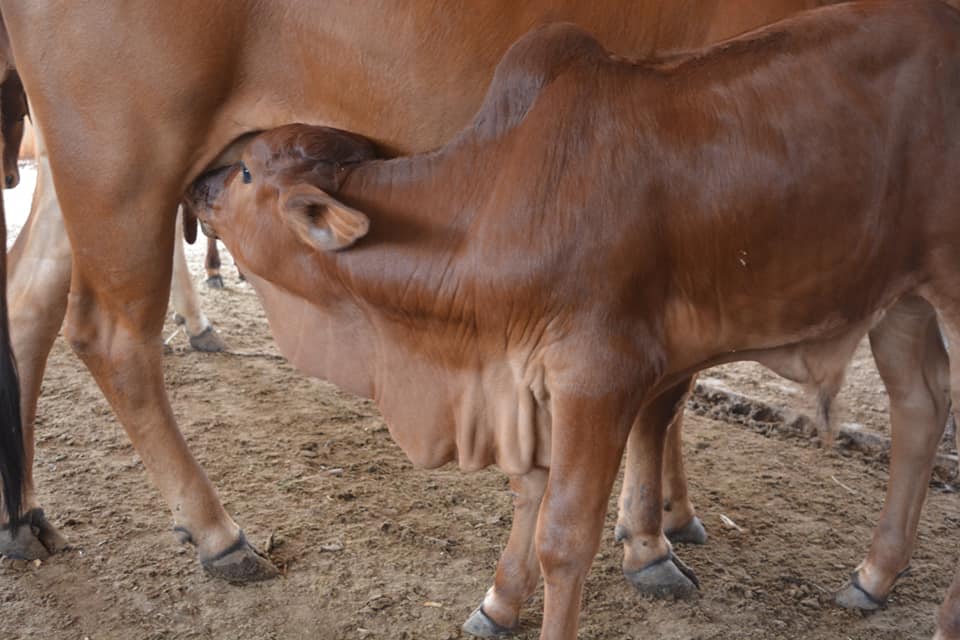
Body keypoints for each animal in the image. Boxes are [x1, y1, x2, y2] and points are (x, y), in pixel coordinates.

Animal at [0, 0, 947, 627]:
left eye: (243, 171)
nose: (206, 179)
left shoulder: (583, 353)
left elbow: (586, 473)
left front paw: (644, 538)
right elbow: (634, 427)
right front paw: (652, 538)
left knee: (34, 298)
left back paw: (26, 516)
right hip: (117, 161)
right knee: (108, 333)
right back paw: (214, 533)